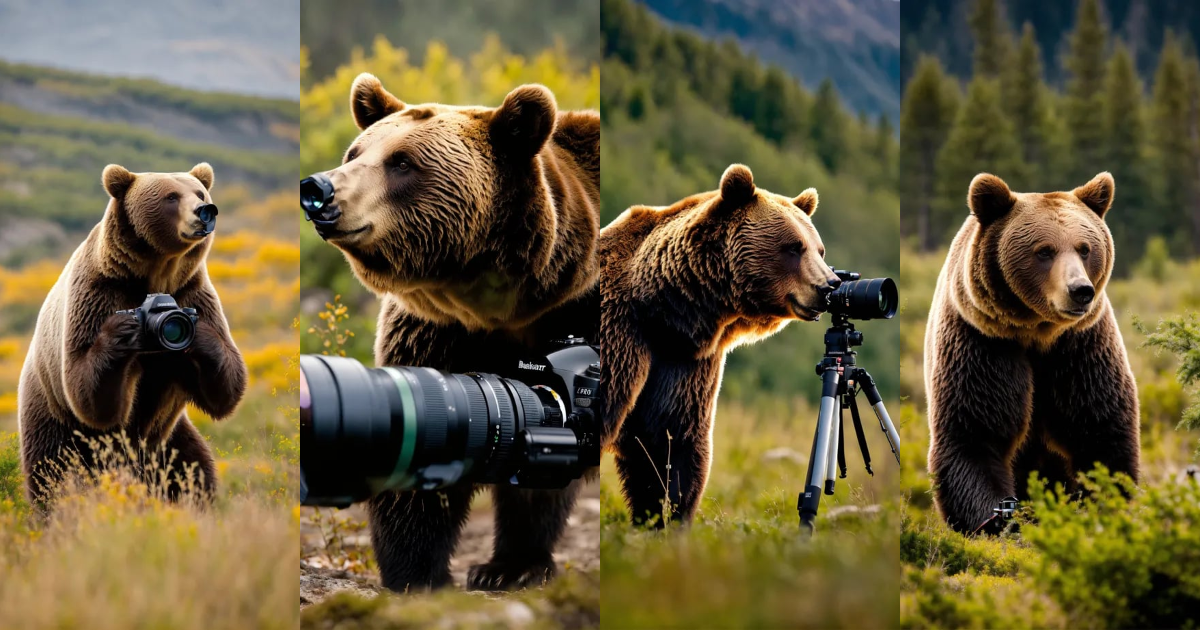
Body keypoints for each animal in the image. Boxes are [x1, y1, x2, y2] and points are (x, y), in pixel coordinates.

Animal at [18, 163, 248, 505]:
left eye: (200, 193)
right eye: (171, 196)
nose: (205, 211)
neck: (157, 277)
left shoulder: (195, 292)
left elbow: (225, 388)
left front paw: (202, 338)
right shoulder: (98, 294)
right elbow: (88, 391)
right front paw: (122, 334)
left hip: (168, 441)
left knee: (193, 472)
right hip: (54, 418)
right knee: (53, 474)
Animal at [308, 74, 599, 591]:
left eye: (401, 161)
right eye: (354, 152)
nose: (320, 189)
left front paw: (509, 568)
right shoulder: (440, 327)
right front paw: (419, 572)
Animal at [600, 164, 839, 526]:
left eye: (819, 249)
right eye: (793, 247)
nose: (828, 285)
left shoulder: (685, 363)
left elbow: (673, 444)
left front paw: (665, 519)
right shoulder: (620, 336)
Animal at [925, 172, 1139, 534]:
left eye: (1085, 248)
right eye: (1044, 251)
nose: (1080, 290)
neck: (1037, 333)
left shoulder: (1080, 348)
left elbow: (1100, 430)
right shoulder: (983, 343)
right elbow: (972, 434)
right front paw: (1000, 521)